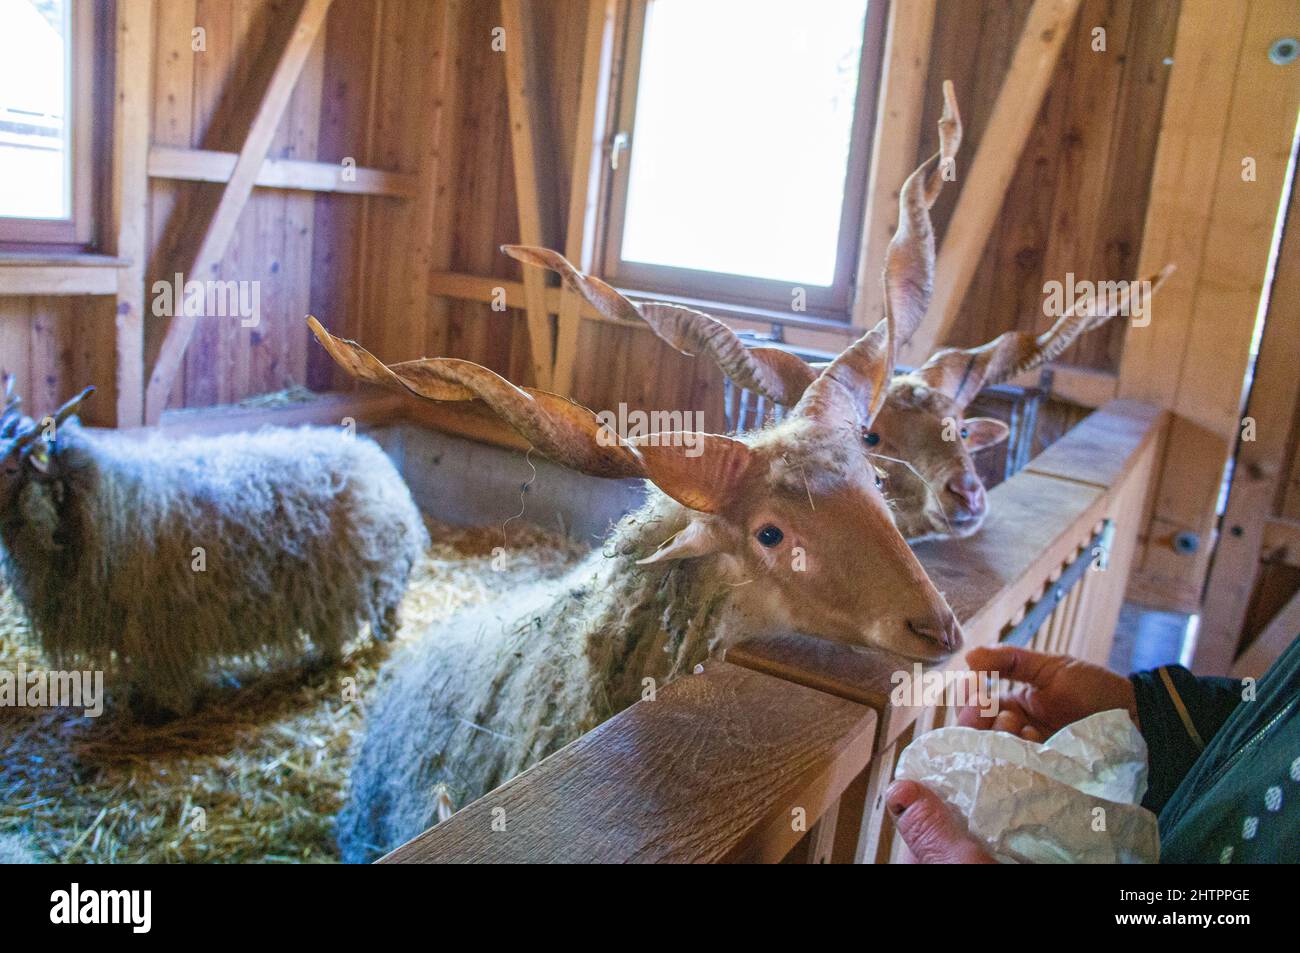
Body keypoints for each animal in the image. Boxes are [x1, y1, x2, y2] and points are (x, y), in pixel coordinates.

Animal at [0, 385, 427, 716]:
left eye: (10, 468)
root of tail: (378, 461)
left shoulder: (162, 622)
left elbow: (169, 677)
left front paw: (170, 709)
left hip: (363, 577)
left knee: (374, 616)